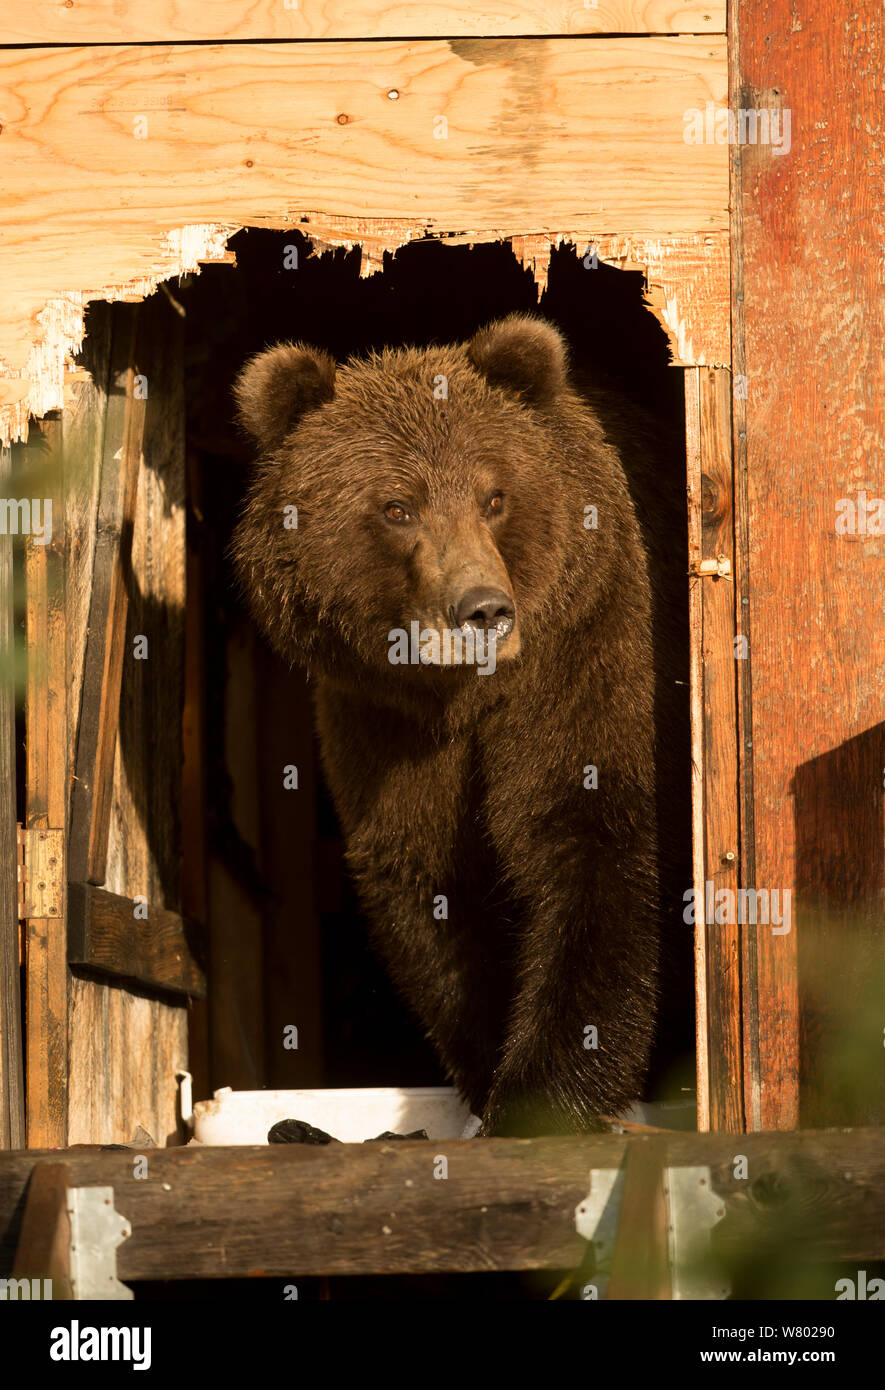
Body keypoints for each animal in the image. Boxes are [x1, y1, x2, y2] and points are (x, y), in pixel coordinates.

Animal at [231, 314, 690, 1136]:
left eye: (494, 495)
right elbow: (429, 881)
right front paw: (491, 1073)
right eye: (397, 507)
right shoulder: (384, 729)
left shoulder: (591, 661)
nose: (482, 609)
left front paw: (543, 1096)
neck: (467, 696)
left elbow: (596, 845)